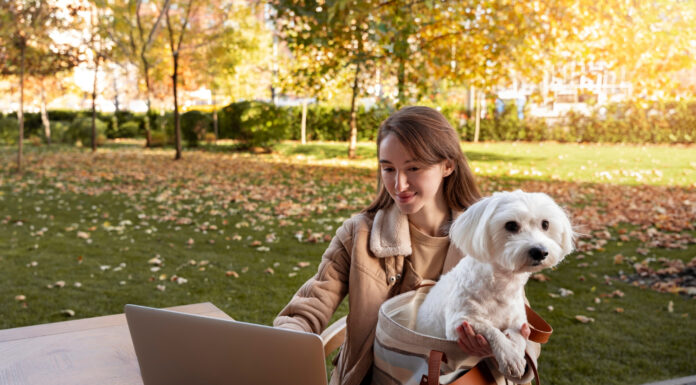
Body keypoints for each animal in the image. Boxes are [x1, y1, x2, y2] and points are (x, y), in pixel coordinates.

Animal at [416, 189, 572, 378]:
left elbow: (519, 337)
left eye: (545, 224)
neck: (501, 284)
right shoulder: (460, 322)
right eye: (511, 225)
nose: (540, 252)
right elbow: (492, 330)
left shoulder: (518, 320)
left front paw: (516, 353)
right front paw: (509, 356)